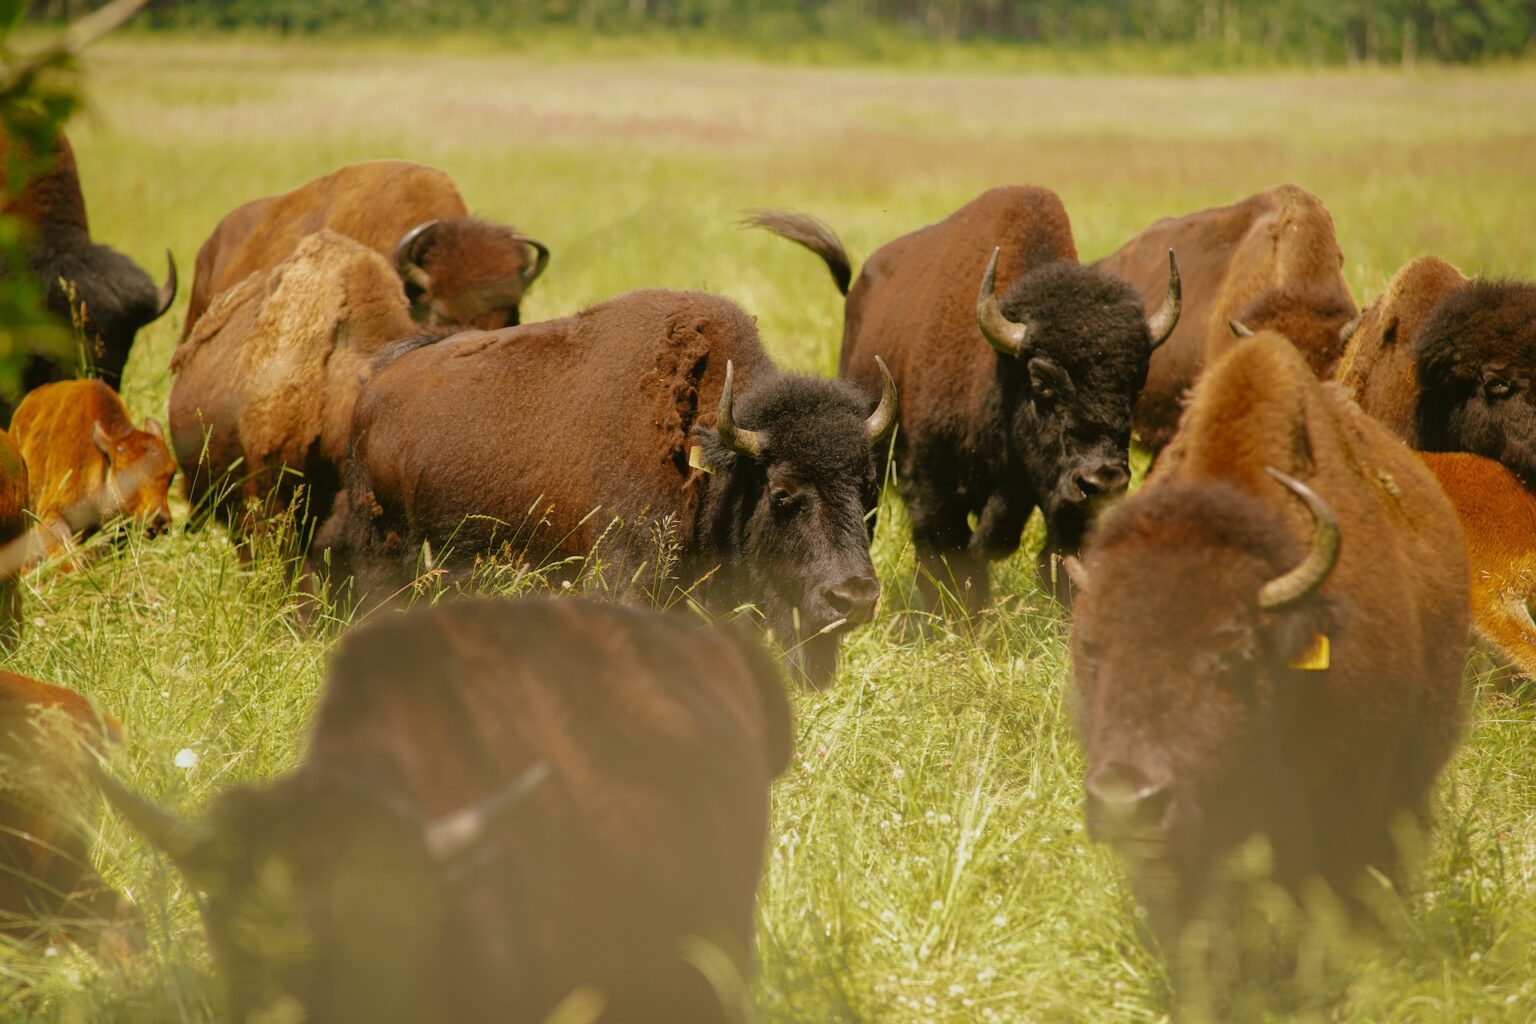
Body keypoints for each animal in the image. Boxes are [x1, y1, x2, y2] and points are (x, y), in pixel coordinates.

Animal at [749, 185, 1178, 609]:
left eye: (1136, 385)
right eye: (1042, 382)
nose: (1103, 480)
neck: (999, 374)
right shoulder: (933, 487)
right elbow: (950, 559)